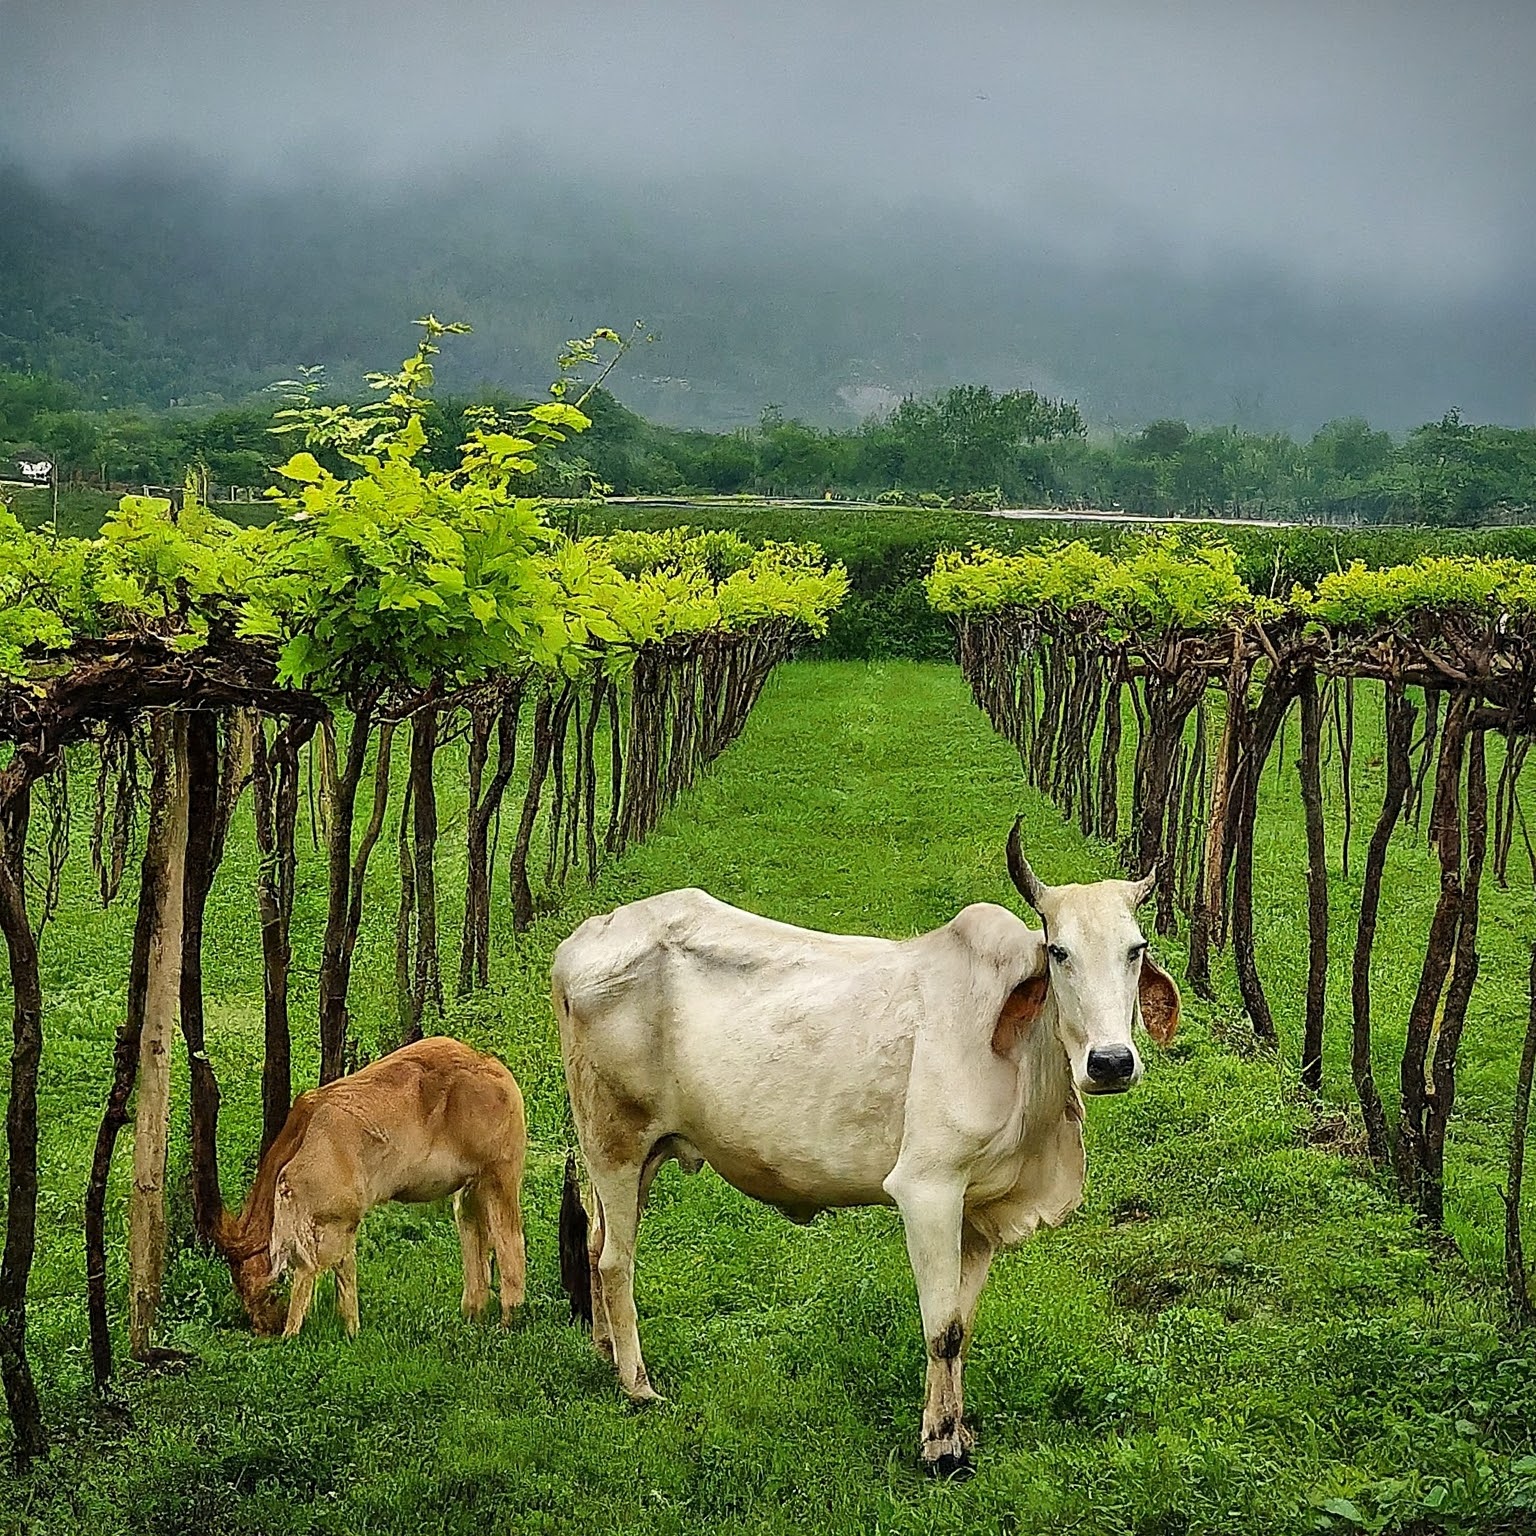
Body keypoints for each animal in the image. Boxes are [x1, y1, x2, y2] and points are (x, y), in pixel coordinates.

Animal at [224, 1036, 528, 1338]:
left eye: (248, 1280)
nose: (263, 1326)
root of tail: (502, 1076)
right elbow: (342, 1271)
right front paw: (351, 1331)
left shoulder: (337, 1219)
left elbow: (315, 1271)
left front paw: (293, 1333)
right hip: (469, 1189)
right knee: (476, 1237)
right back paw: (473, 1314)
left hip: (500, 1173)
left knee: (510, 1239)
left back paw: (508, 1319)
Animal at [553, 822, 1179, 1475]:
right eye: (1059, 952)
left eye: (1135, 949)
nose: (1111, 1062)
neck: (1025, 1061)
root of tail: (585, 937)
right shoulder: (928, 1190)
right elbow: (941, 1329)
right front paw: (941, 1448)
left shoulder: (976, 1210)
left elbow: (962, 1324)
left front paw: (955, 1430)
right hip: (614, 1143)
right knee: (615, 1260)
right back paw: (638, 1385)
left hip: (629, 1156)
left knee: (594, 1239)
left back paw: (604, 1351)